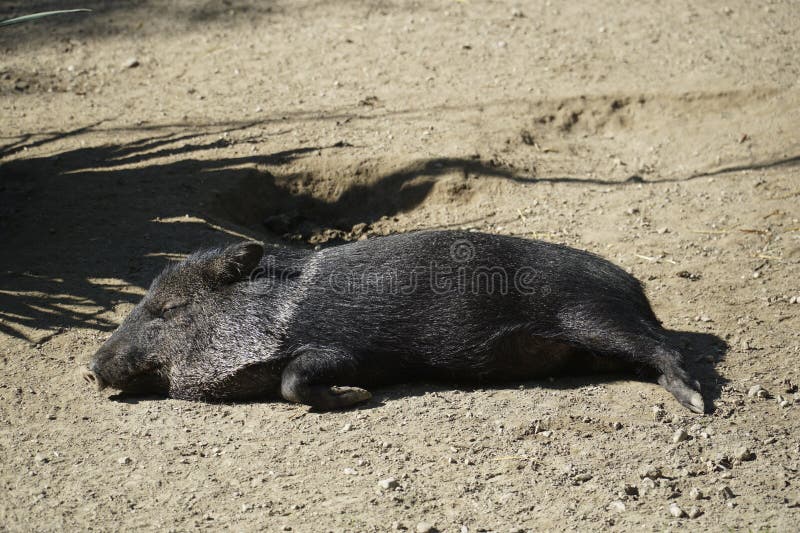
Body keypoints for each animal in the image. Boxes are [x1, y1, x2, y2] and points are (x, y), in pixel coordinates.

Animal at [83, 230, 705, 413]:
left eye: (168, 311)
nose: (90, 367)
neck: (274, 315)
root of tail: (636, 287)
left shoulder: (342, 349)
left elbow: (293, 382)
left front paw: (356, 396)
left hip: (595, 317)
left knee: (669, 348)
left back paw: (694, 403)